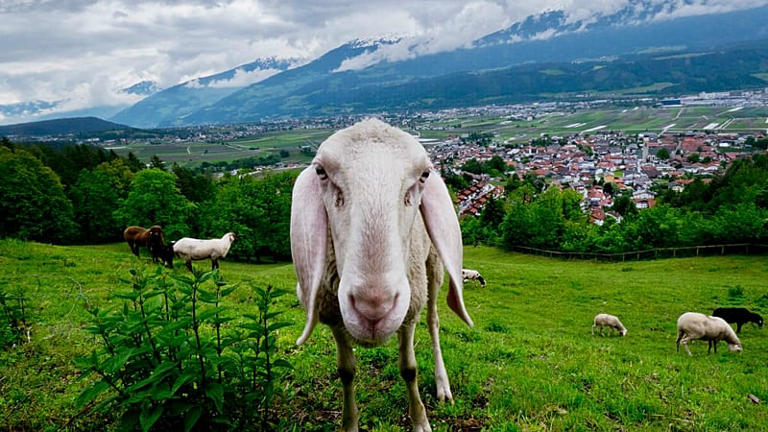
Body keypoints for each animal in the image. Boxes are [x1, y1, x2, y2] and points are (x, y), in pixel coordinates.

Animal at [290, 118, 473, 432]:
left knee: (433, 321)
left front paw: (420, 421)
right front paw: (349, 424)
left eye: (424, 174)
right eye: (321, 172)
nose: (373, 306)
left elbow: (409, 369)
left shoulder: (408, 311)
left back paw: (442, 385)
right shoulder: (333, 315)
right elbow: (346, 371)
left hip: (432, 267)